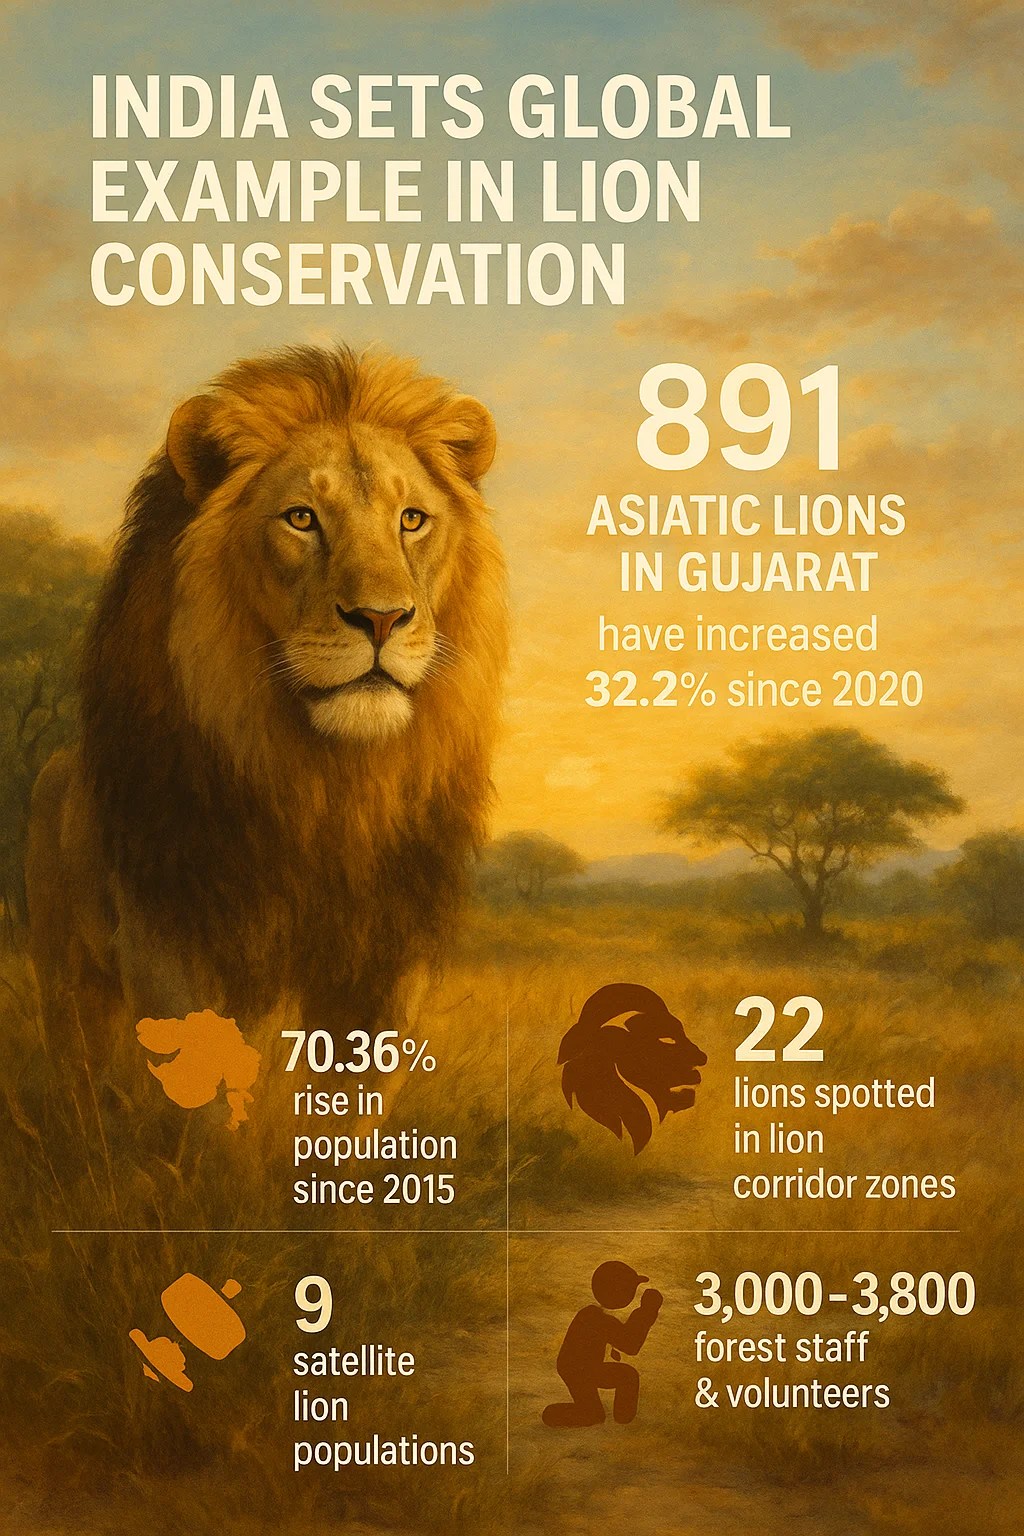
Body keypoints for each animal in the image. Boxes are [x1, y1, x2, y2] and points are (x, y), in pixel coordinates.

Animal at [26, 344, 507, 1068]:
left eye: (411, 520)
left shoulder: (389, 965)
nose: (382, 618)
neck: (329, 785)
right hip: (66, 976)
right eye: (302, 518)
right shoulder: (170, 941)